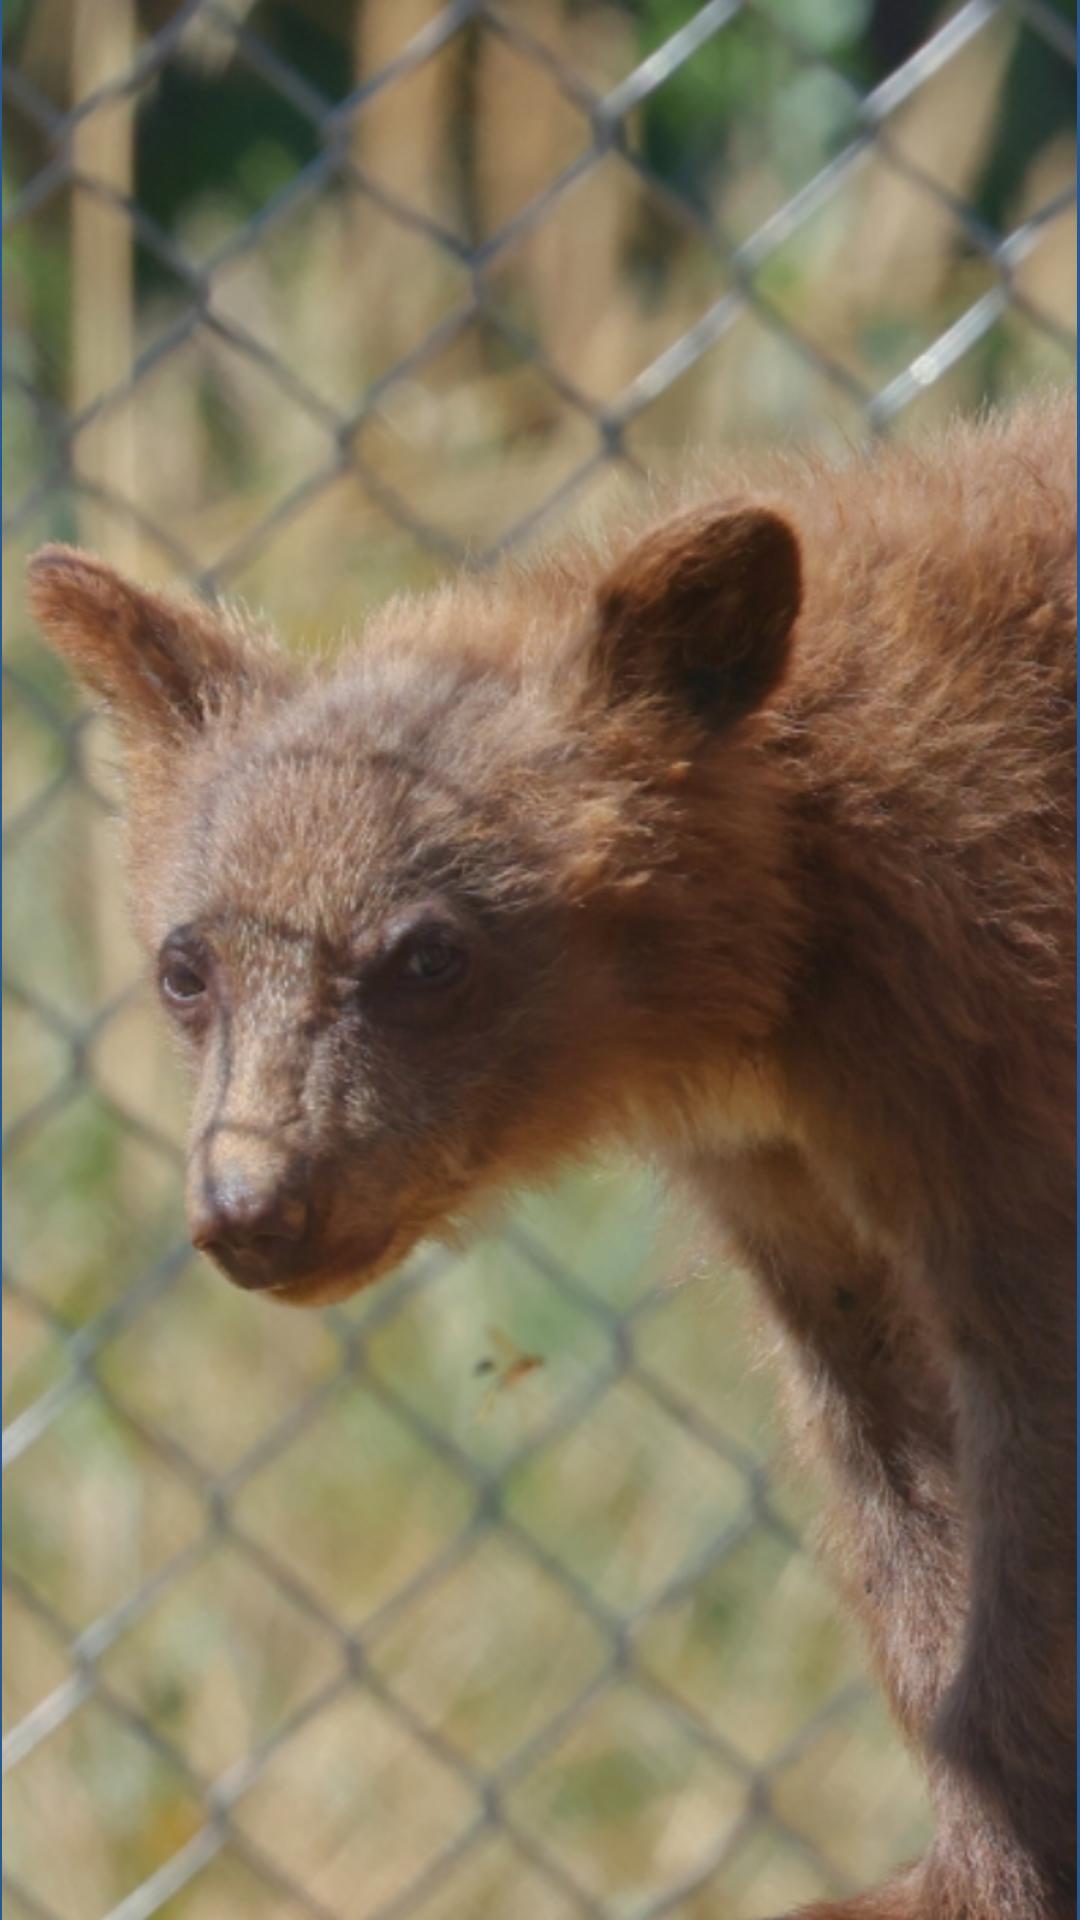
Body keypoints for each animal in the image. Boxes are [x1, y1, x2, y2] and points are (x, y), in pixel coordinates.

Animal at [28, 388, 1076, 1919]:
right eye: (185, 965)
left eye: (427, 955)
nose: (250, 1208)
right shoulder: (799, 1191)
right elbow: (898, 1485)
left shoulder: (998, 1085)